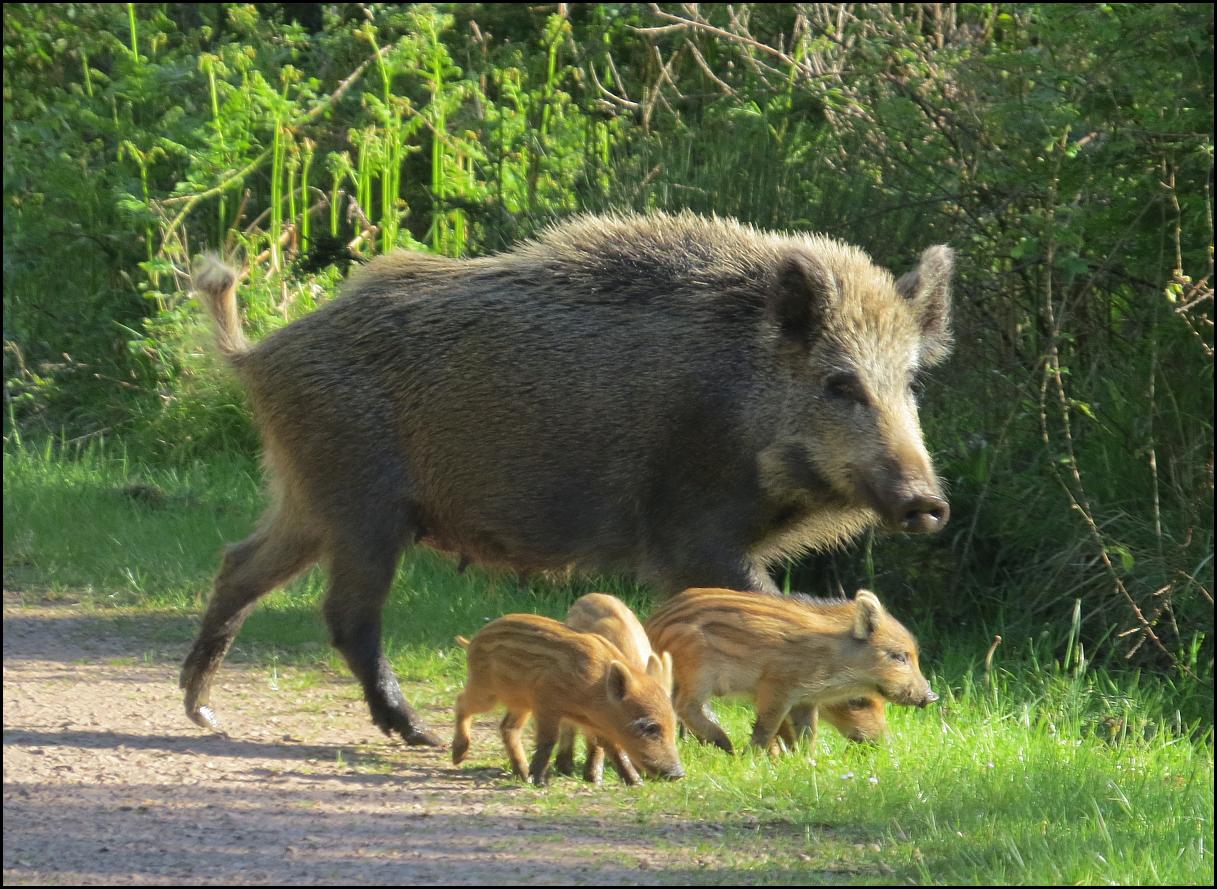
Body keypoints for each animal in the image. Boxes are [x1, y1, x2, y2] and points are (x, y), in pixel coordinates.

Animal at [451, 613, 683, 785]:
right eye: (649, 727)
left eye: (673, 725)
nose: (679, 774)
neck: (593, 689)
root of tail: (473, 639)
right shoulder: (546, 703)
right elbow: (548, 740)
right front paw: (540, 783)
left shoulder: (600, 723)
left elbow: (611, 748)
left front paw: (634, 783)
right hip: (486, 690)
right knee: (461, 701)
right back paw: (458, 756)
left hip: (520, 703)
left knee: (508, 728)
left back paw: (522, 774)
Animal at [553, 593, 674, 783]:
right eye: (649, 727)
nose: (676, 775)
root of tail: (591, 595)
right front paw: (594, 779)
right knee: (568, 727)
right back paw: (565, 770)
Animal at [644, 587, 935, 753]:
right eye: (898, 656)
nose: (932, 696)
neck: (830, 657)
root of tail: (652, 627)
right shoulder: (775, 688)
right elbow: (767, 726)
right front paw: (751, 757)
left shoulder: (805, 699)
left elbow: (808, 732)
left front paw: (808, 761)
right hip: (696, 673)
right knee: (684, 706)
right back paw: (725, 745)